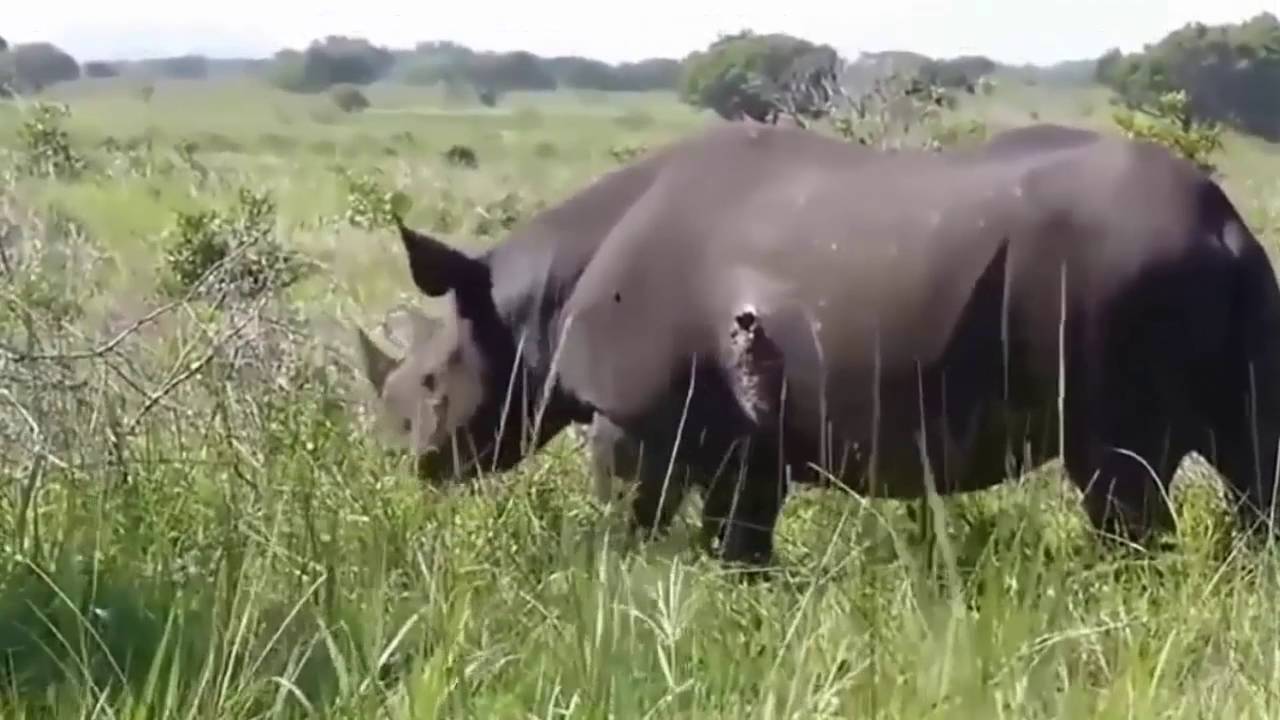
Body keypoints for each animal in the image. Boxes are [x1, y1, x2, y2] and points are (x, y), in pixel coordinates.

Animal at [355, 120, 1280, 567]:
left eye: (431, 383)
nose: (398, 459)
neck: (529, 306)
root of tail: (1226, 225)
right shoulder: (745, 431)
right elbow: (739, 536)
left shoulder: (634, 415)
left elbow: (632, 516)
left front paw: (613, 587)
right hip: (1232, 284)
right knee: (1251, 461)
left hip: (1120, 281)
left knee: (1119, 478)